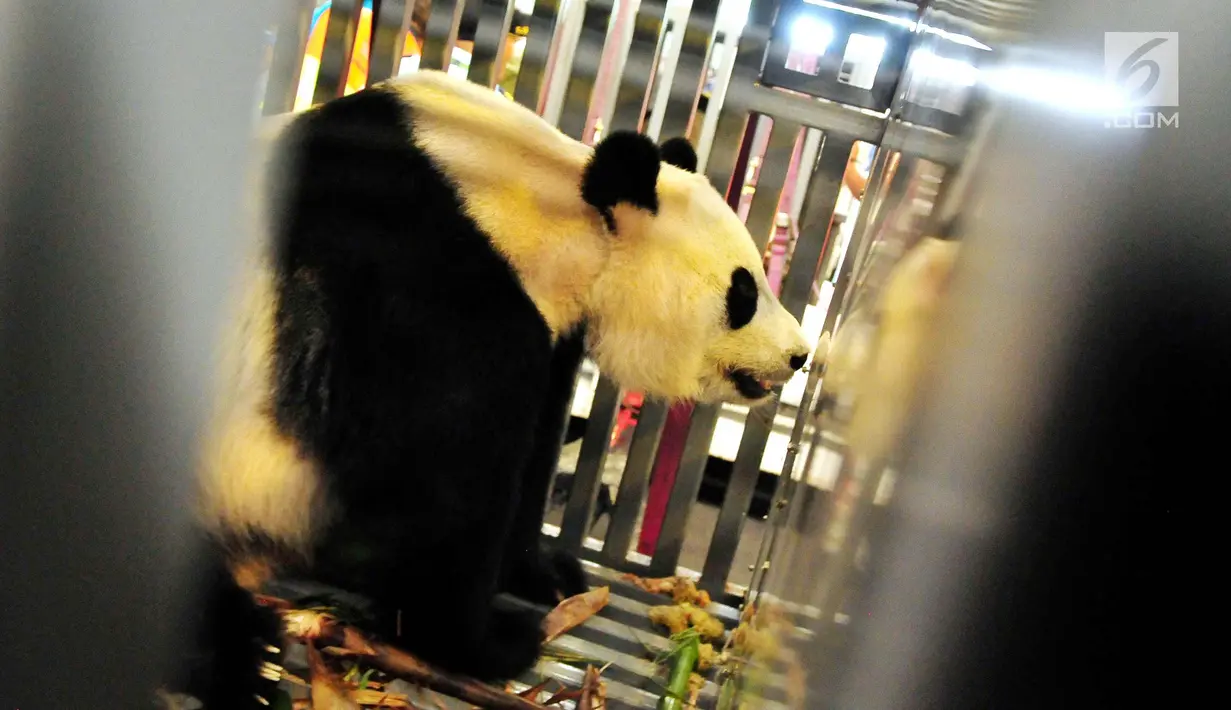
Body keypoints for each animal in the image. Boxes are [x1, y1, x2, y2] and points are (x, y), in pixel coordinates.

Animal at [178, 69, 811, 708]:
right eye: (743, 291)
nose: (799, 354)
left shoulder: (545, 328)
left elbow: (528, 460)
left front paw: (546, 576)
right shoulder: (423, 296)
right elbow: (438, 491)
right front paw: (483, 643)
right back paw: (246, 664)